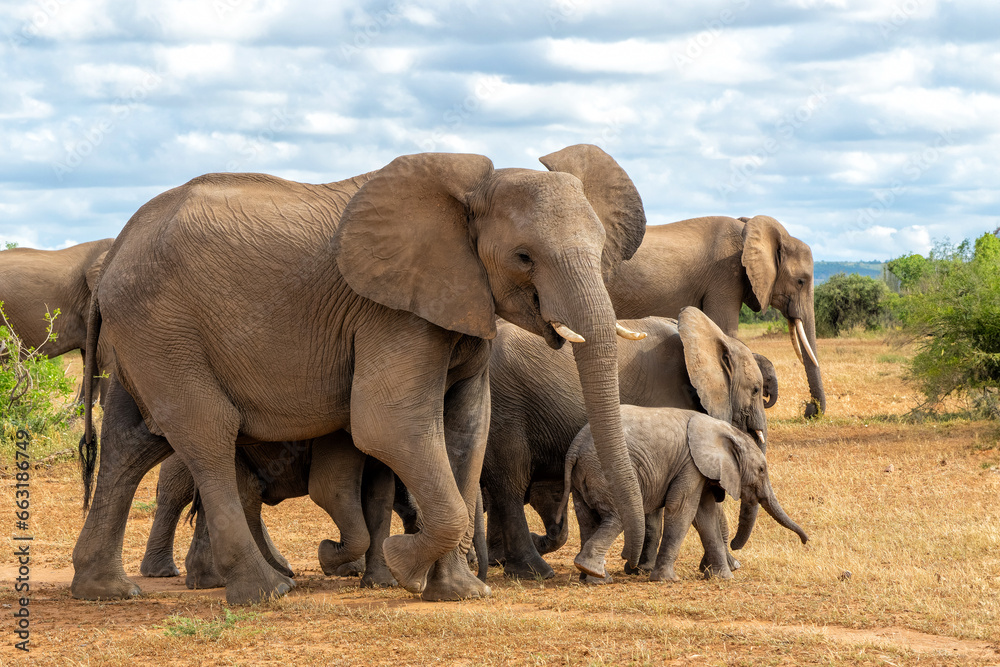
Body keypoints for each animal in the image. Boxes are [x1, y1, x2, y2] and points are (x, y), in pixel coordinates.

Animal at [72, 145, 650, 605]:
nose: (624, 569)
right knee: (207, 431)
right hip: (163, 327)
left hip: (145, 333)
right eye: (524, 257)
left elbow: (467, 427)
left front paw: (460, 592)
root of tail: (115, 250)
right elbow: (387, 425)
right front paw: (400, 563)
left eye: (603, 249)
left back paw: (107, 591)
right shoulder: (391, 313)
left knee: (132, 442)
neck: (468, 194)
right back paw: (267, 591)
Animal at [483, 307, 775, 579]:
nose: (735, 547)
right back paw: (534, 570)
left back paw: (500, 559)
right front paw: (726, 566)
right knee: (510, 486)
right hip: (507, 409)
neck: (710, 339)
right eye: (756, 390)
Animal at [560, 406, 808, 582]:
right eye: (761, 470)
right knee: (619, 515)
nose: (805, 542)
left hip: (584, 475)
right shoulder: (690, 464)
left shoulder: (700, 469)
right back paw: (594, 572)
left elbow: (705, 515)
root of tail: (575, 448)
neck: (723, 430)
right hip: (603, 472)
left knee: (587, 518)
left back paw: (596, 579)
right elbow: (682, 509)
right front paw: (667, 580)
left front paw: (723, 578)